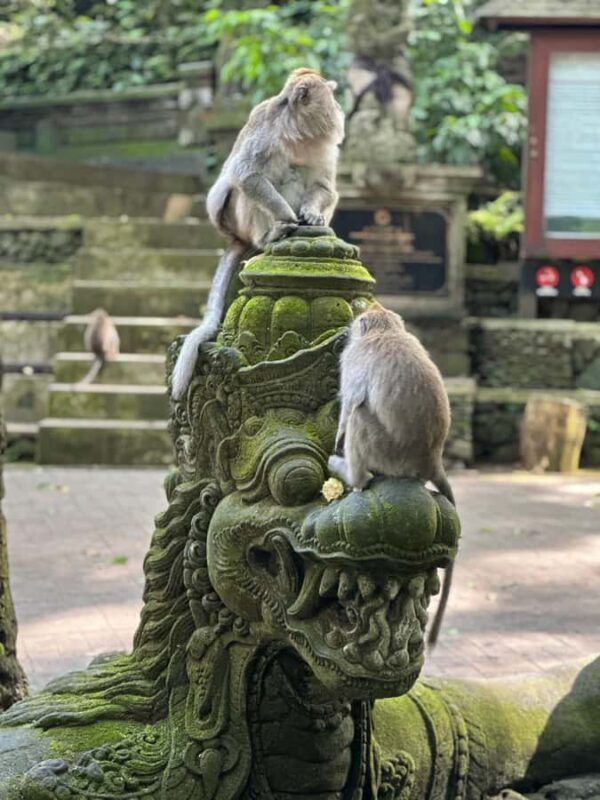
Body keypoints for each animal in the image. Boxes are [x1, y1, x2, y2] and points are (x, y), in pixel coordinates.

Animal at [171, 68, 345, 400]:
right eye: (330, 96)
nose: (340, 109)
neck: (298, 135)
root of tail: (239, 238)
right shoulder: (264, 133)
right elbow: (247, 175)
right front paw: (288, 215)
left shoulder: (324, 148)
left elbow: (325, 187)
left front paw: (312, 214)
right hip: (239, 221)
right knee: (247, 187)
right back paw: (273, 235)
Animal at [327, 302, 455, 648]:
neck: (387, 331)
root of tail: (432, 458)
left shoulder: (351, 359)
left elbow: (350, 403)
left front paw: (338, 435)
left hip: (385, 449)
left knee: (359, 415)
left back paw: (353, 476)